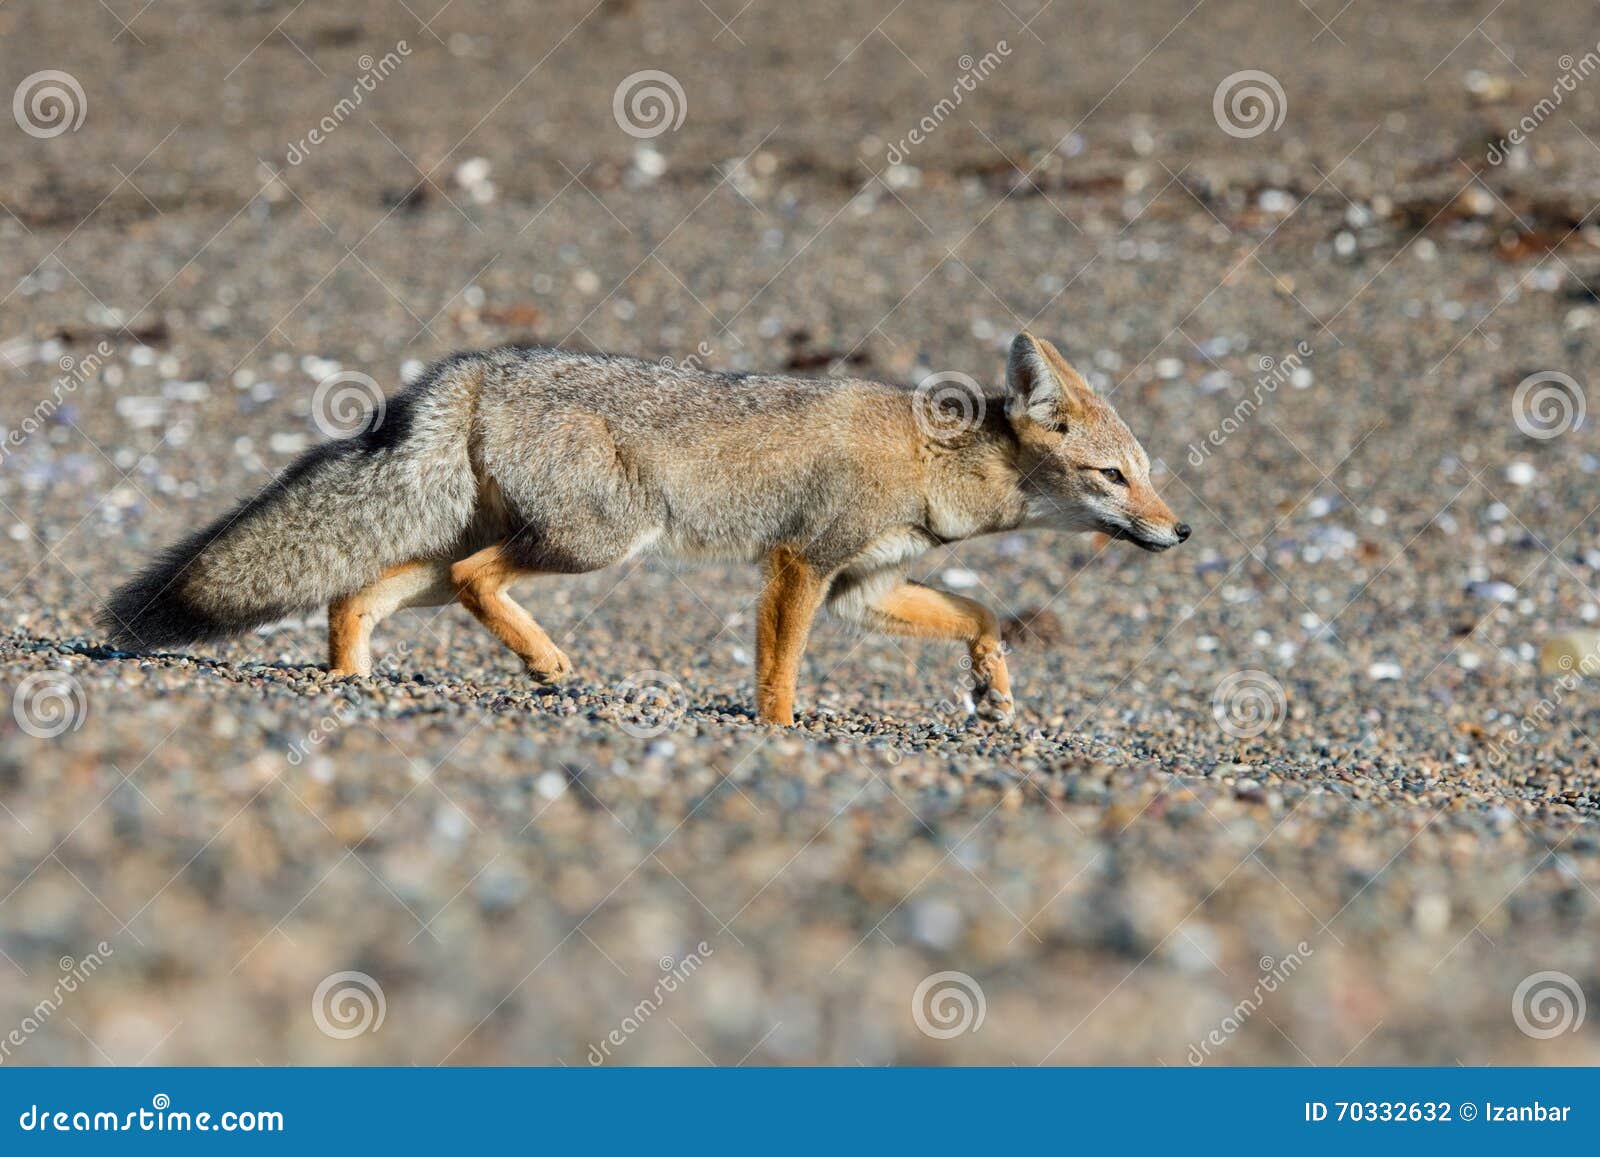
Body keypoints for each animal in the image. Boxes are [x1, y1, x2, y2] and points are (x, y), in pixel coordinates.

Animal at [100, 332, 1188, 725]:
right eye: (1113, 477)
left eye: (1149, 476)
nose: (1179, 534)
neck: (938, 464)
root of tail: (476, 363)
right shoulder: (800, 564)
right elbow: (779, 668)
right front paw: (778, 732)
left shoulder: (863, 588)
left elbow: (983, 612)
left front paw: (993, 689)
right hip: (596, 542)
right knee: (474, 579)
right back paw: (546, 663)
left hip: (463, 550)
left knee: (358, 592)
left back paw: (350, 679)